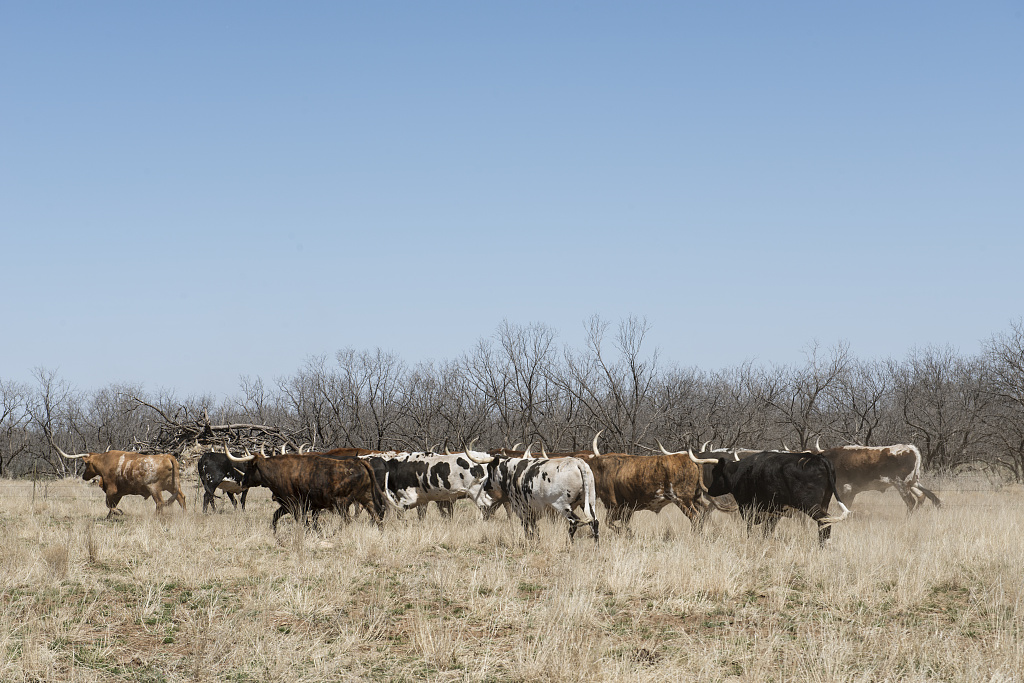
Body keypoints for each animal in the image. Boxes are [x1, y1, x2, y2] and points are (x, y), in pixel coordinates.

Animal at [56, 445, 186, 519]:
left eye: (86, 464)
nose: (84, 476)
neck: (105, 461)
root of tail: (167, 456)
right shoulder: (119, 493)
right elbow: (112, 505)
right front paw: (109, 517)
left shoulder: (111, 490)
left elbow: (109, 504)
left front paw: (118, 512)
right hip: (172, 486)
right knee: (181, 497)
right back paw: (184, 515)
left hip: (154, 488)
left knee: (160, 502)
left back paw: (156, 517)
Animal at [226, 447, 386, 531]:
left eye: (248, 467)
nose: (243, 482)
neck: (277, 470)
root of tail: (358, 462)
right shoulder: (290, 506)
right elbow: (276, 517)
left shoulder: (293, 504)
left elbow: (301, 522)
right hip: (366, 499)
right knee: (377, 516)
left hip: (342, 503)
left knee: (348, 520)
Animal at [465, 446, 599, 543]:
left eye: (489, 468)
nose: (485, 484)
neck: (512, 471)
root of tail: (577, 462)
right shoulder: (532, 511)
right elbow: (535, 528)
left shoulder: (521, 509)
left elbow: (526, 528)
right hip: (589, 503)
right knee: (594, 523)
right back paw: (596, 548)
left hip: (563, 506)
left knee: (574, 522)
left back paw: (568, 545)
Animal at [690, 449, 850, 545]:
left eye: (716, 472)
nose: (710, 490)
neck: (741, 472)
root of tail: (819, 459)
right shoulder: (773, 512)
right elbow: (767, 531)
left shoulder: (748, 508)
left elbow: (750, 528)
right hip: (824, 502)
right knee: (824, 523)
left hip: (811, 505)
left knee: (824, 520)